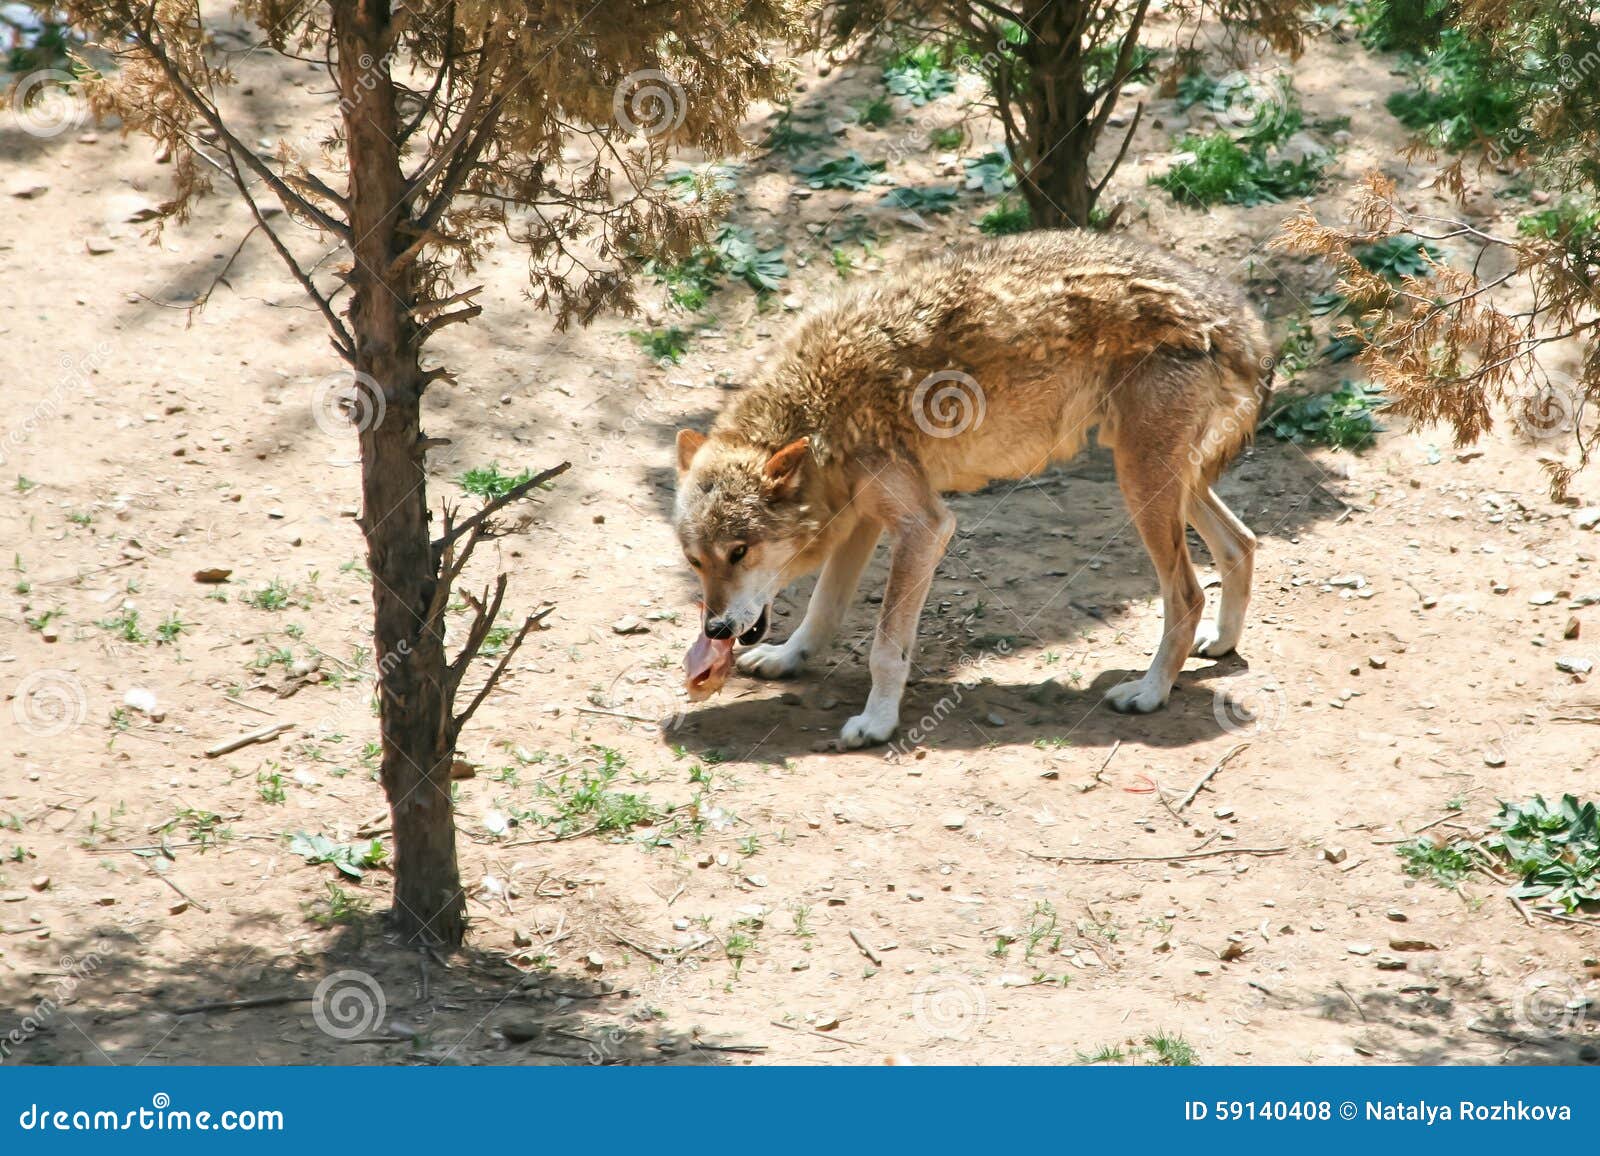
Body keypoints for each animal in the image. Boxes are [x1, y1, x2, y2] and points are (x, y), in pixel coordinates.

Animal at [674, 230, 1270, 748]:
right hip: (1160, 477)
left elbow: (885, 646)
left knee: (1189, 592)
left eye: (740, 552)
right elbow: (823, 610)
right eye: (696, 562)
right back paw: (1221, 643)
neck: (818, 410)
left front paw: (877, 722)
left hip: (1142, 480)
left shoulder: (924, 526)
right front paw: (787, 658)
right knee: (1243, 543)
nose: (716, 627)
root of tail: (1238, 317)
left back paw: (1149, 693)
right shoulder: (862, 519)